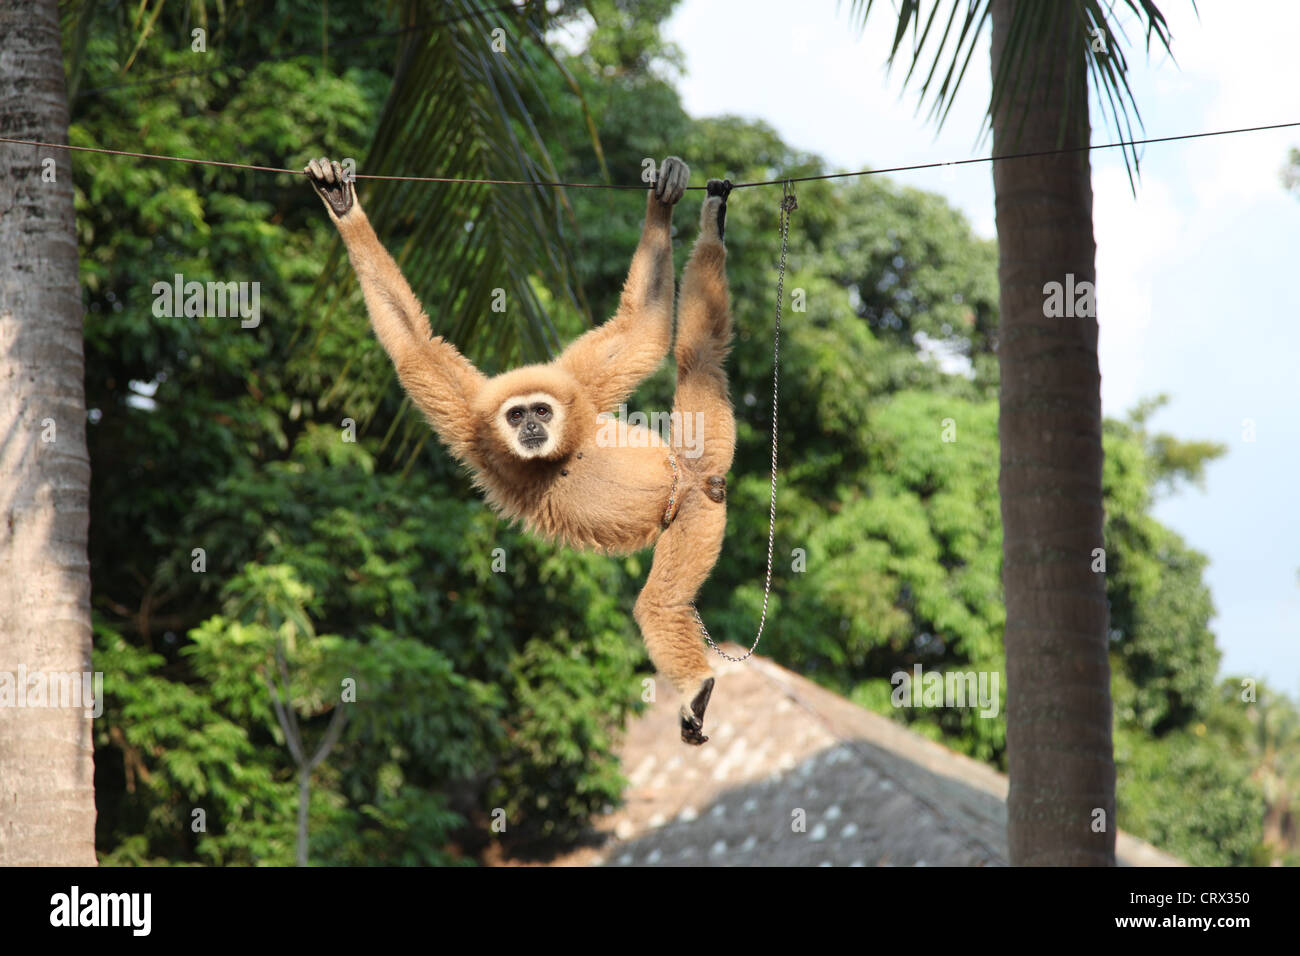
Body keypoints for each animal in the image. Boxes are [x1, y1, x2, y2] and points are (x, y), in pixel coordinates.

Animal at [306, 155, 736, 745]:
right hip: (701, 454)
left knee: (660, 605)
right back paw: (713, 225)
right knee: (699, 355)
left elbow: (641, 331)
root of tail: (697, 476)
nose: (530, 426)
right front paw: (343, 207)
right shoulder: (475, 425)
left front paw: (662, 198)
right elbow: (414, 346)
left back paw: (697, 688)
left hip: (692, 511)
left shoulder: (574, 392)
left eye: (541, 412)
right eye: (515, 415)